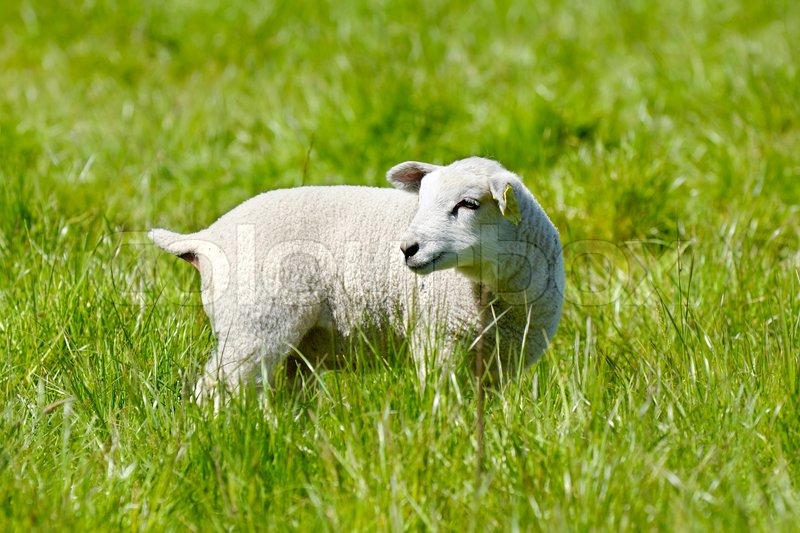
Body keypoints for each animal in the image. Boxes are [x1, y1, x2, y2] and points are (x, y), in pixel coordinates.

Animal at [150, 157, 564, 406]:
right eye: (420, 203)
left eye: (469, 204)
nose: (407, 249)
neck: (495, 290)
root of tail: (206, 237)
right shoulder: (436, 337)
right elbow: (440, 396)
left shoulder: (503, 358)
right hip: (253, 322)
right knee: (216, 389)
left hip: (293, 344)